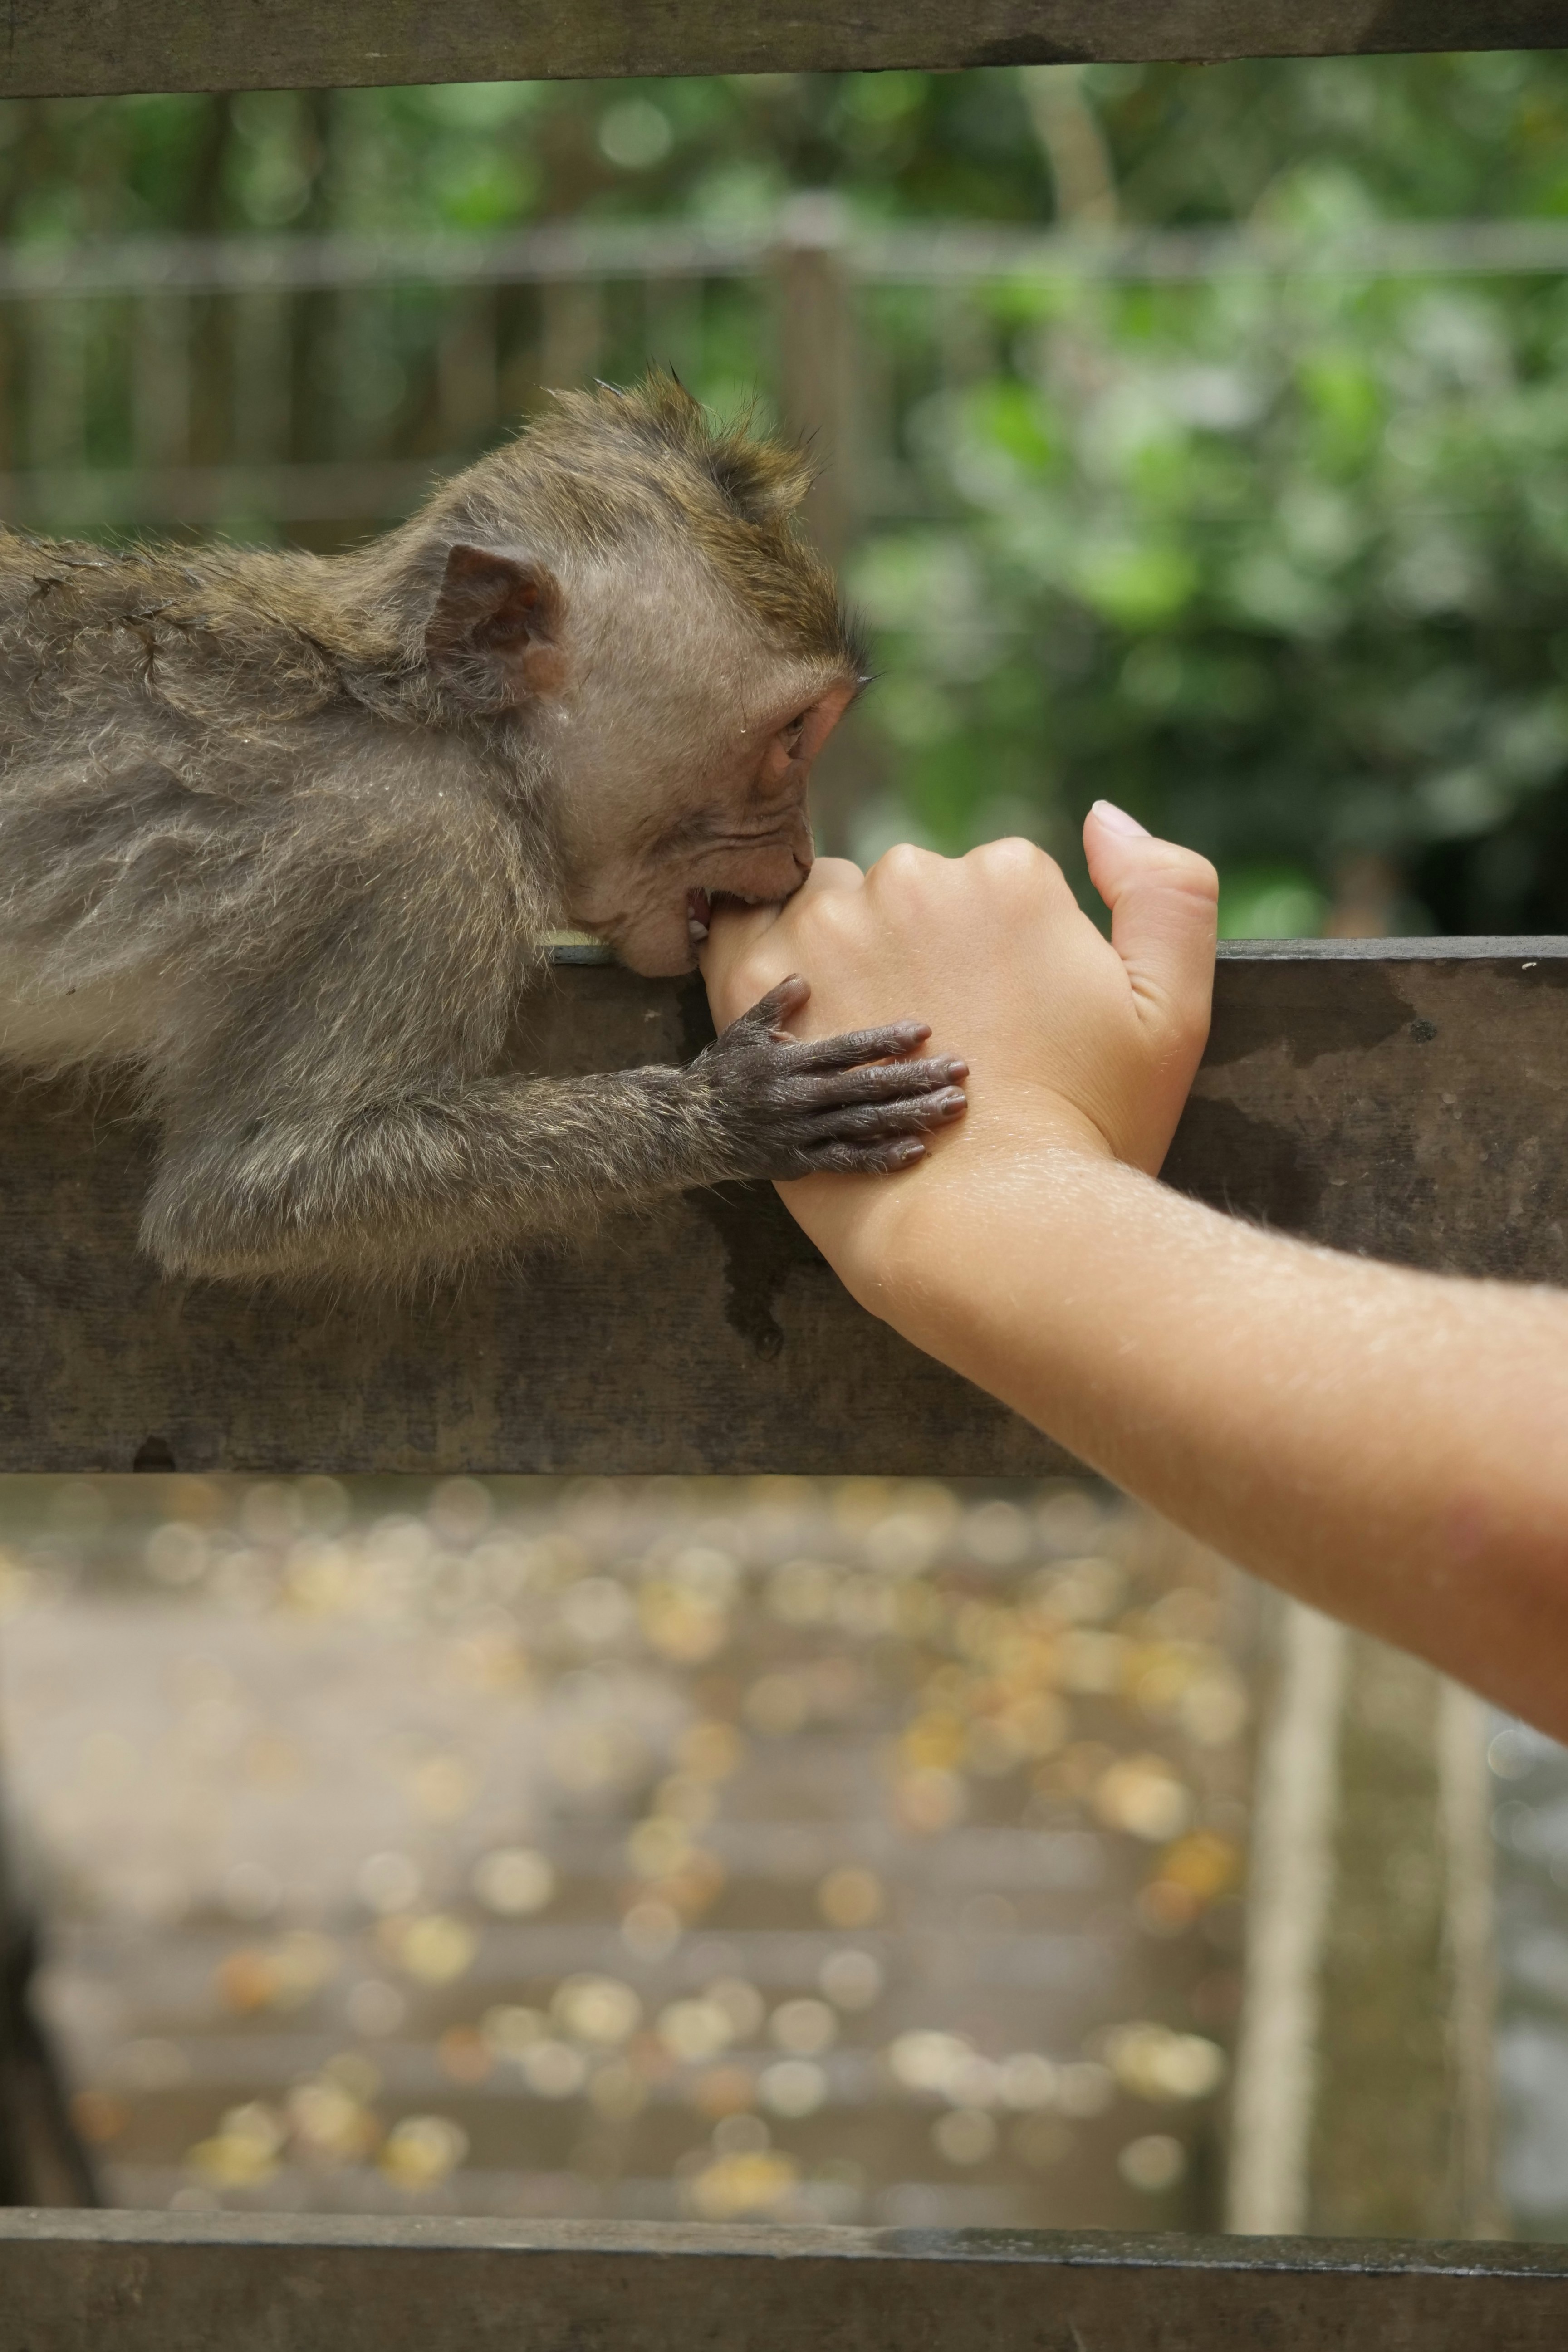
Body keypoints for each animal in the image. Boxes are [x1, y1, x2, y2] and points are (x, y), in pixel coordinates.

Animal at [0, 373, 967, 1284]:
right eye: (795, 733)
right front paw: (727, 1108)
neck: (452, 728)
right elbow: (246, 1185)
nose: (803, 856)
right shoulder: (428, 862)